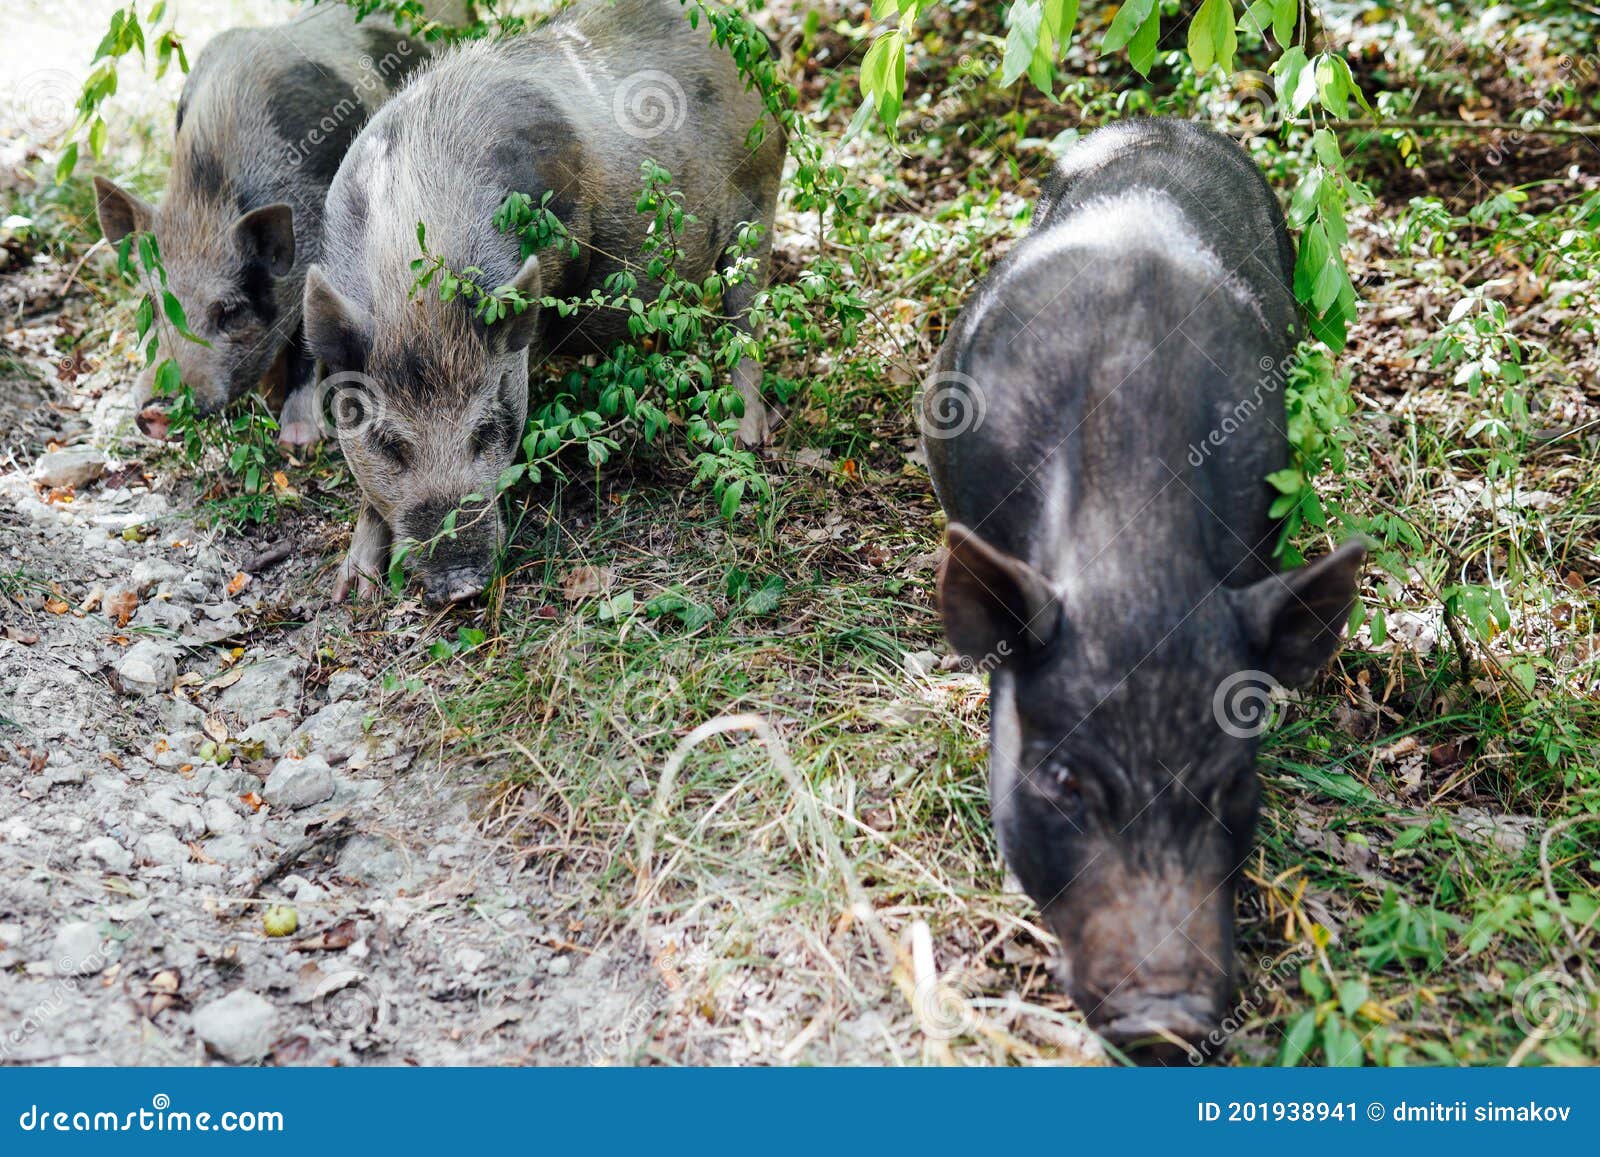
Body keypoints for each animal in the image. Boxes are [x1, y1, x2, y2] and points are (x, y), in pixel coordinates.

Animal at [92, 3, 447, 444]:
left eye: (230, 310)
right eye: (155, 305)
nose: (156, 409)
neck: (209, 192)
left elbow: (308, 340)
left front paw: (299, 441)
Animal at [303, 0, 785, 604]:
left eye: (485, 429)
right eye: (389, 443)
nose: (460, 587)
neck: (409, 271)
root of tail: (750, 46)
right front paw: (351, 591)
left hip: (760, 203)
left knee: (748, 325)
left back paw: (748, 436)